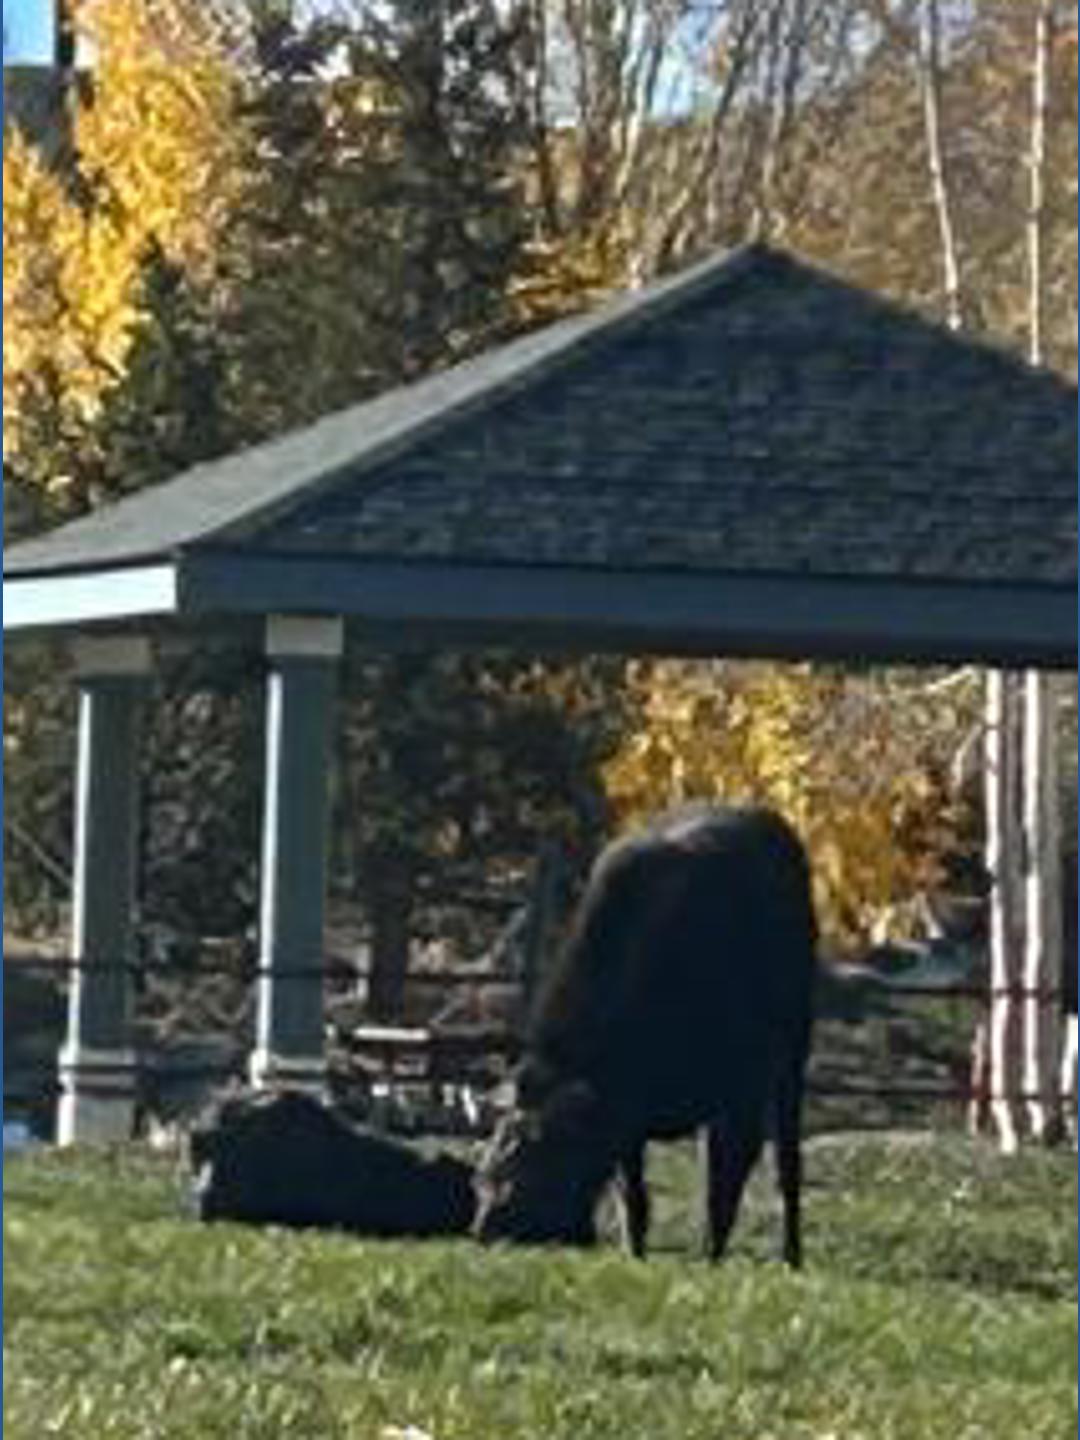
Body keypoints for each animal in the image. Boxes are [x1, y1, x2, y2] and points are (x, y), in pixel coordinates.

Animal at [473, 804, 818, 1267]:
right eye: (483, 1172)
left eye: (530, 1159)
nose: (483, 1228)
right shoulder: (626, 1114)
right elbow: (633, 1195)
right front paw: (635, 1253)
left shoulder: (739, 1082)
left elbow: (727, 1179)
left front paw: (711, 1256)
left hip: (793, 1046)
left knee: (786, 1161)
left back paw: (791, 1255)